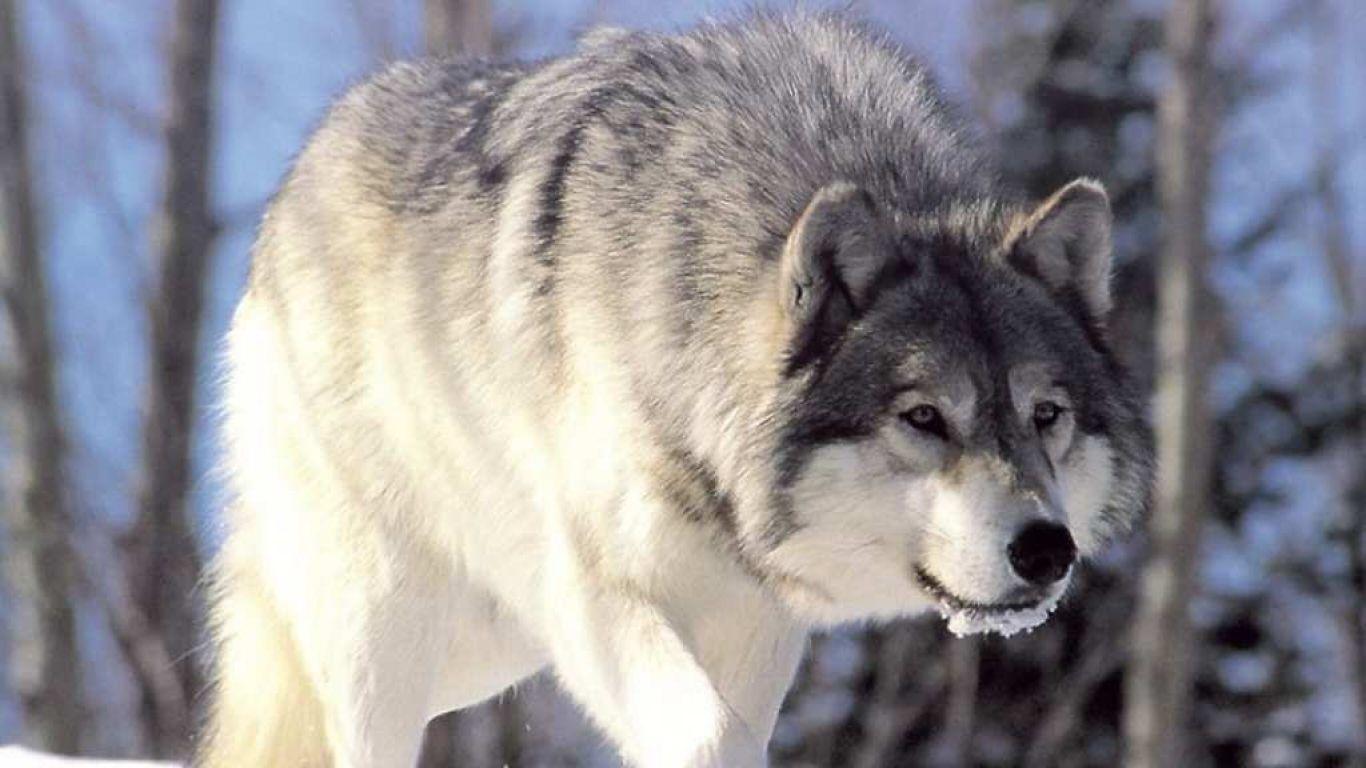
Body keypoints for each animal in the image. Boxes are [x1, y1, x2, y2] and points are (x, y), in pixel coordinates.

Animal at [201, 11, 1152, 768]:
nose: (1048, 550)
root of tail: (297, 180)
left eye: (1046, 416)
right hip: (391, 627)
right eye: (924, 417)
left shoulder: (754, 623)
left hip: (486, 644)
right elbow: (707, 735)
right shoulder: (594, 596)